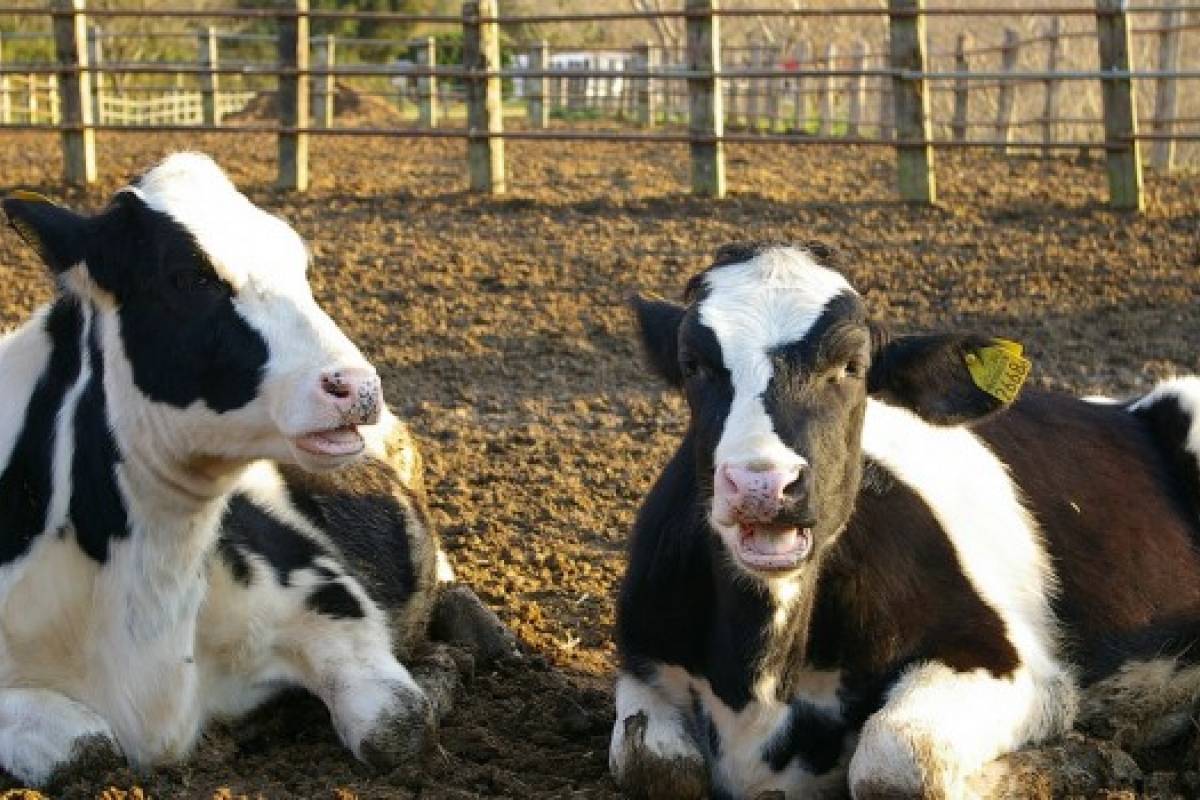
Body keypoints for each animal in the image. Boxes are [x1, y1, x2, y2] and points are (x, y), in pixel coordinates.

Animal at [0, 153, 454, 787]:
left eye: (299, 267)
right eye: (189, 277)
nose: (357, 388)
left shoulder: (328, 594)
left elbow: (398, 723)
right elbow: (87, 749)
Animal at [610, 242, 1200, 799]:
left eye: (852, 366)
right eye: (693, 364)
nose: (763, 485)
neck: (759, 683)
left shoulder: (1009, 659)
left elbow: (893, 763)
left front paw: (1075, 761)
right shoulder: (641, 655)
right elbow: (651, 766)